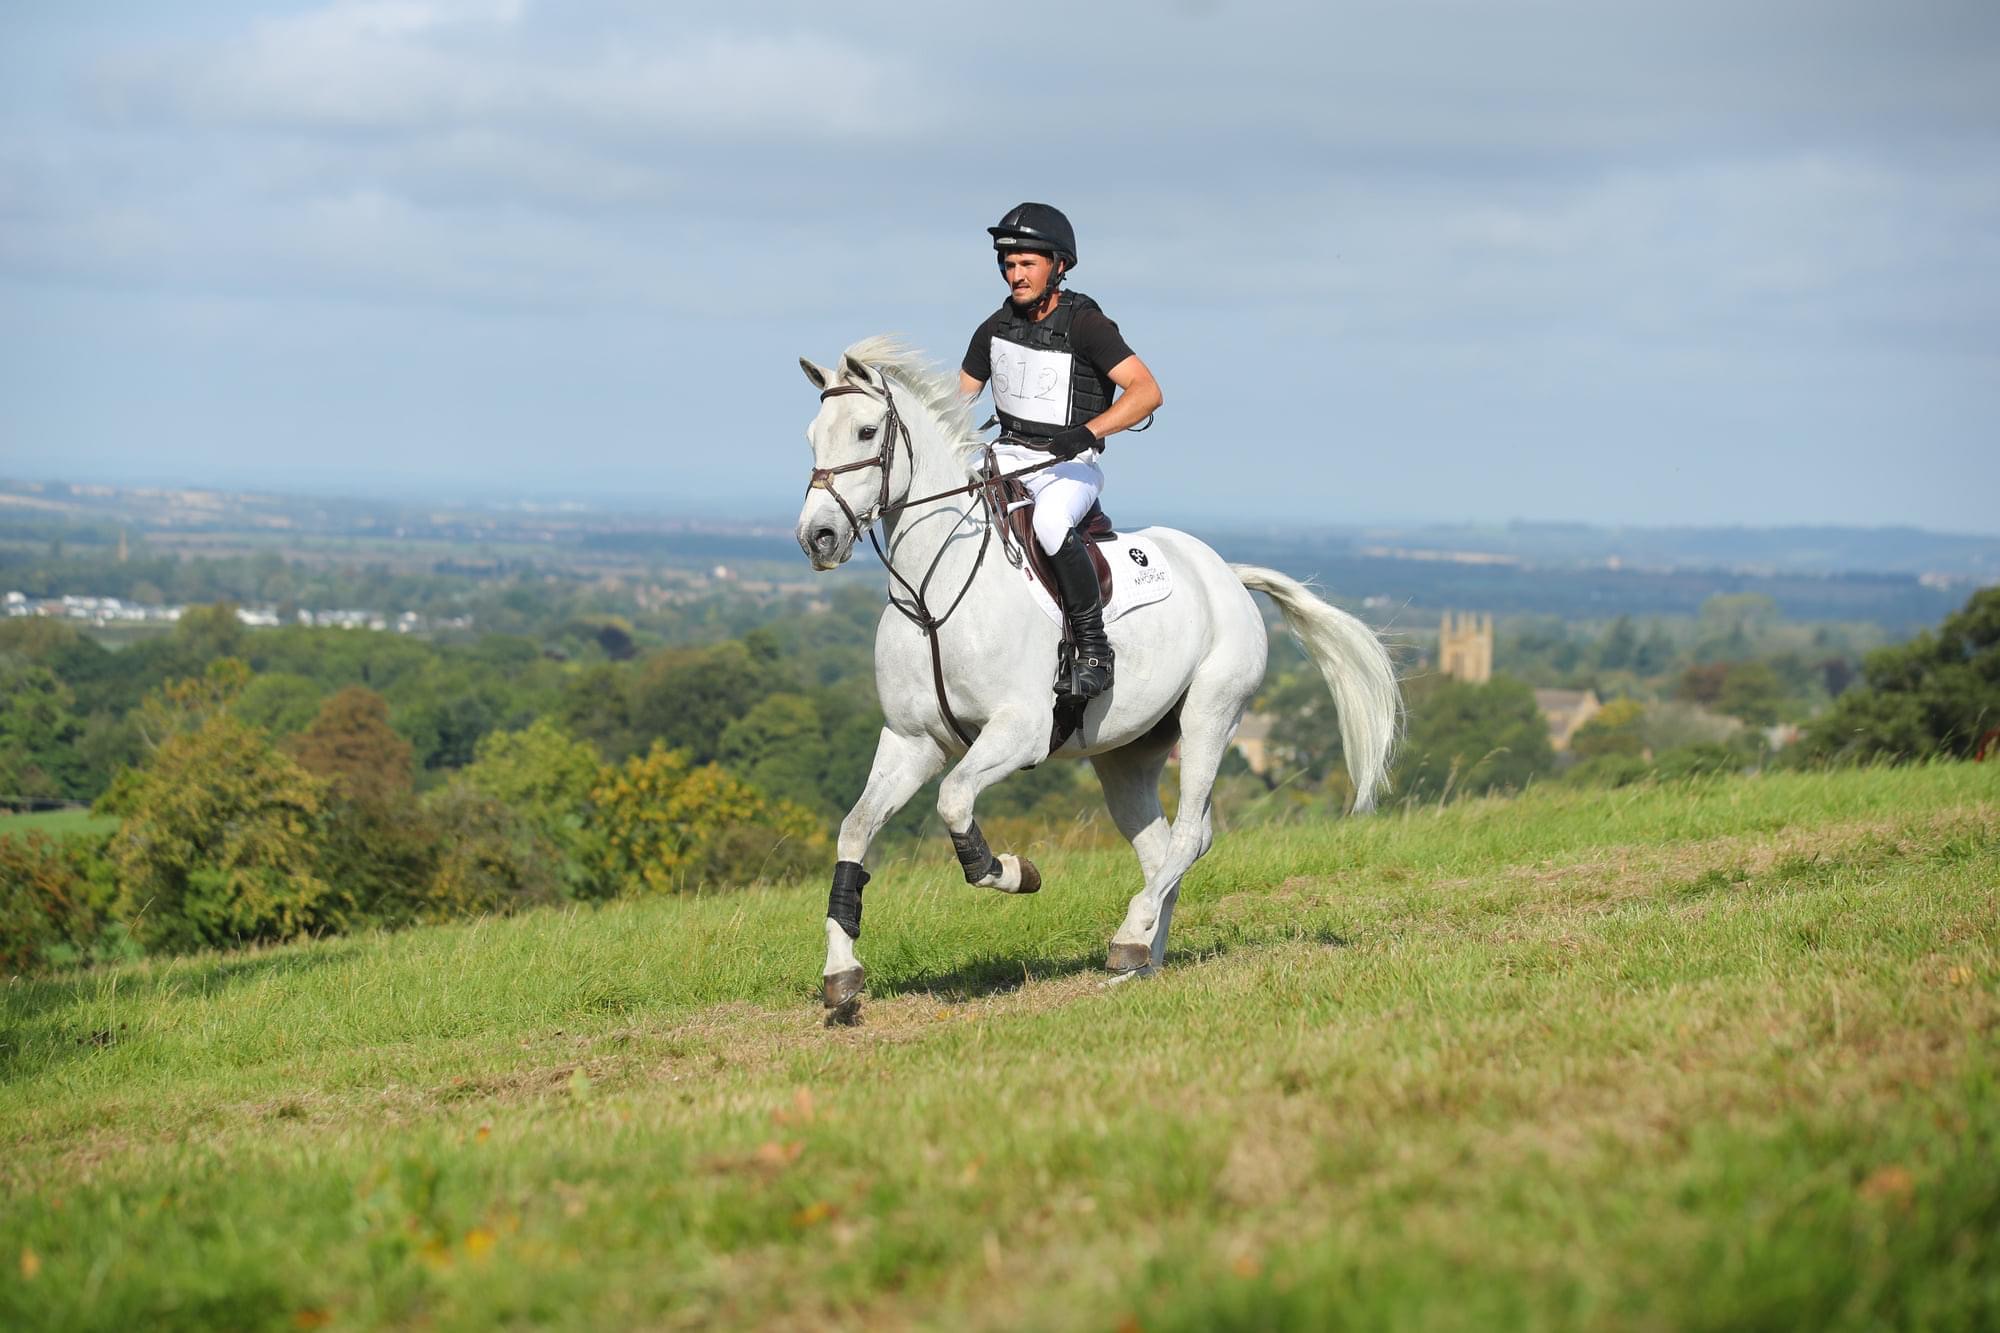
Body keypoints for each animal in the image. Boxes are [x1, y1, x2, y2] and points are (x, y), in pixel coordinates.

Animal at [795, 338, 1400, 1013]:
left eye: (867, 431)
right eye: (813, 436)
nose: (818, 538)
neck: (933, 595)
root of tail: (1226, 573)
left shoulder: (1020, 732)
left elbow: (954, 801)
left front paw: (1015, 872)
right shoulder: (910, 741)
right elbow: (855, 830)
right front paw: (841, 975)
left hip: (1212, 715)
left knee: (1190, 835)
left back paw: (1131, 937)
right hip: (1126, 755)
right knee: (1161, 847)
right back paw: (1142, 959)